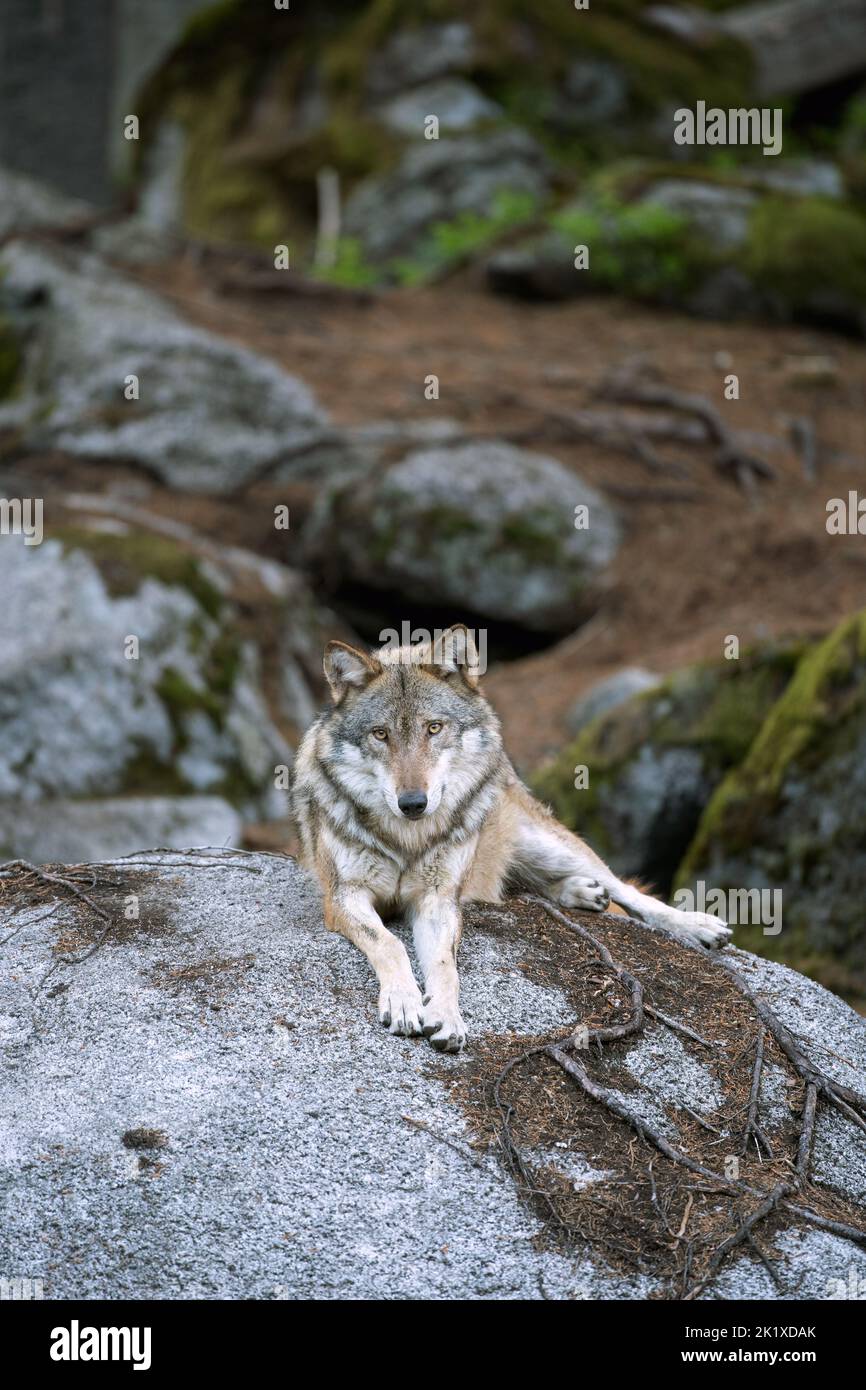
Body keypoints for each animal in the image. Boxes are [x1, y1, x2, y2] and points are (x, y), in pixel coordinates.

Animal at [291, 625, 731, 1052]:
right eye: (380, 735)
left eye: (434, 728)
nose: (413, 803)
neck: (408, 838)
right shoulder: (344, 895)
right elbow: (389, 944)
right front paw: (404, 1002)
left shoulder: (438, 899)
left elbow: (445, 967)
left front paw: (447, 1017)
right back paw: (581, 892)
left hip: (550, 844)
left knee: (627, 889)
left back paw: (696, 924)